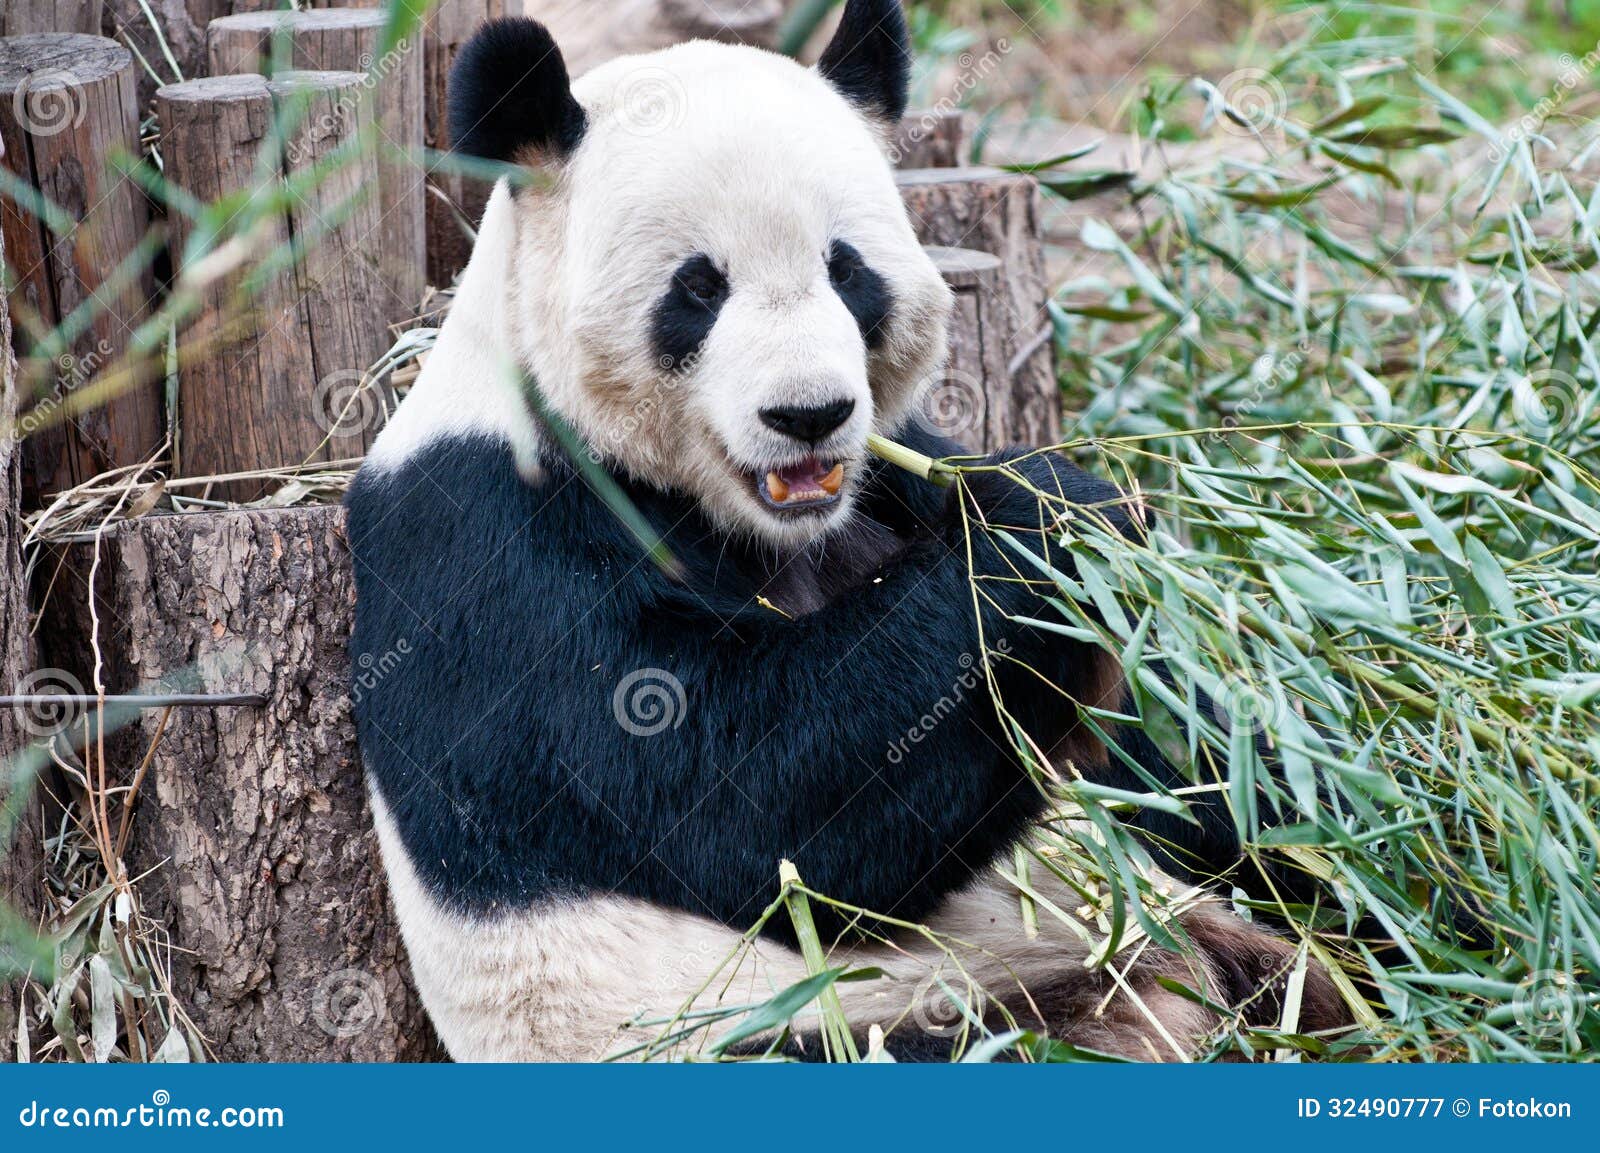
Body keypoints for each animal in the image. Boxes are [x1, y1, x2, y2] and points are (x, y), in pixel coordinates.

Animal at [346, 0, 1346, 1061]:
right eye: (698, 288)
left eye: (846, 269)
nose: (809, 414)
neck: (752, 521)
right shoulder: (489, 546)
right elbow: (751, 806)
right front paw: (1051, 516)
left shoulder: (889, 480)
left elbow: (1165, 752)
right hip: (830, 1024)